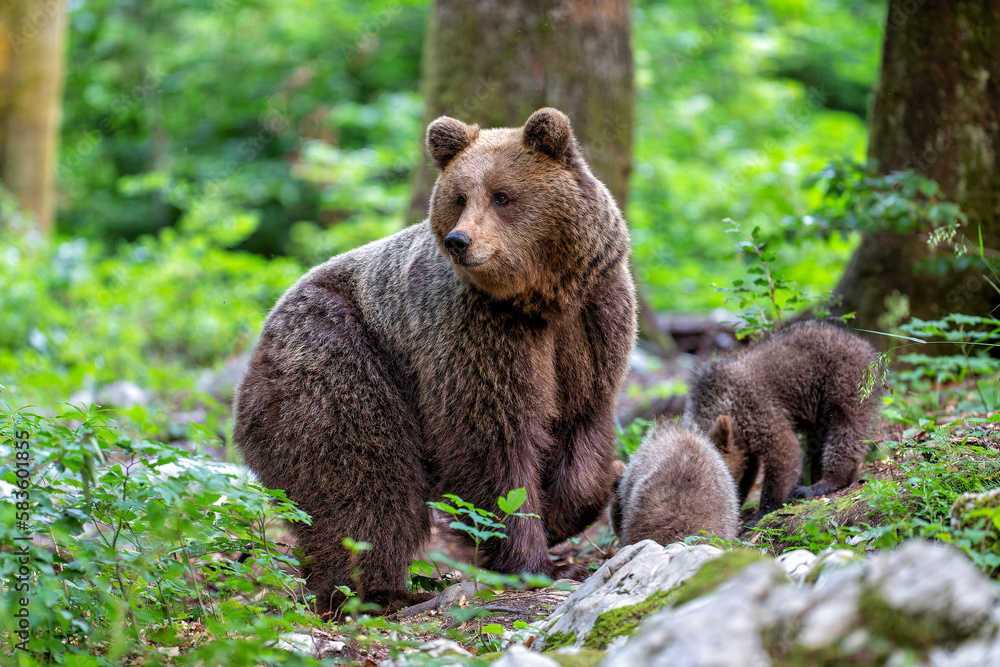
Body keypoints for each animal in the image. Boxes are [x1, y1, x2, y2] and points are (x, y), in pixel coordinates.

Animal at [232, 108, 637, 615]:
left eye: (502, 195)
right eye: (460, 197)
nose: (460, 240)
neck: (539, 299)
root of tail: (260, 340)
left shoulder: (594, 323)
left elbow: (583, 427)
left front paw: (571, 509)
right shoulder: (475, 333)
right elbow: (492, 445)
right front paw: (527, 559)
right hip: (337, 362)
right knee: (364, 482)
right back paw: (376, 592)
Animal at [682, 319, 881, 524]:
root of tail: (860, 341)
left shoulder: (753, 407)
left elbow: (783, 447)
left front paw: (762, 512)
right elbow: (750, 467)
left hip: (845, 380)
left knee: (845, 430)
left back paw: (825, 482)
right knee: (818, 440)